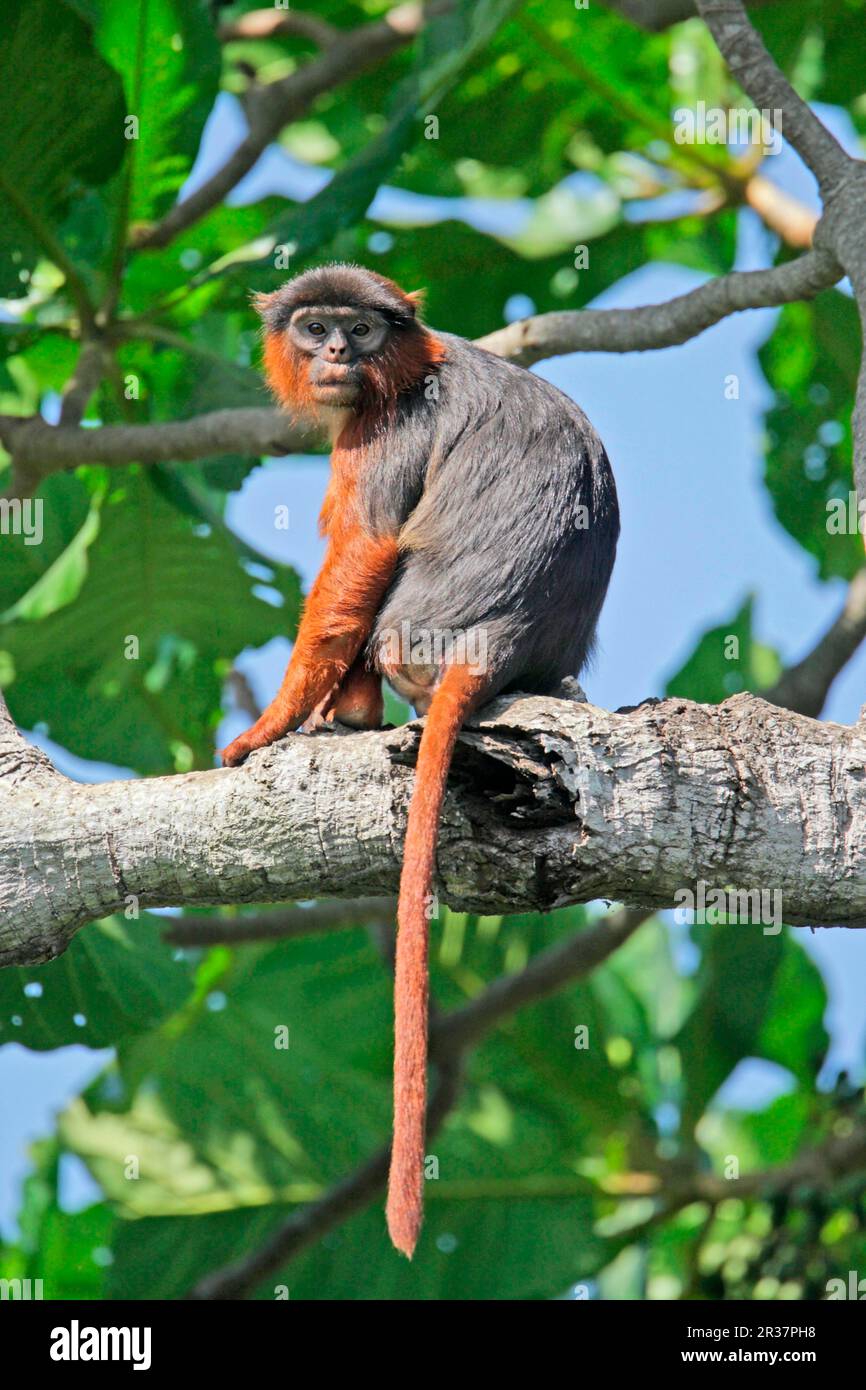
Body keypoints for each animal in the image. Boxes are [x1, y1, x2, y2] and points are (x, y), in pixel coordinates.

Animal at [219, 262, 619, 1262]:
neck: (414, 364)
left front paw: (266, 730)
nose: (332, 351)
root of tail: (493, 642)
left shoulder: (382, 428)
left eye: (358, 332)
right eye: (315, 327)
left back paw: (349, 713)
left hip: (413, 635)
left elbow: (360, 551)